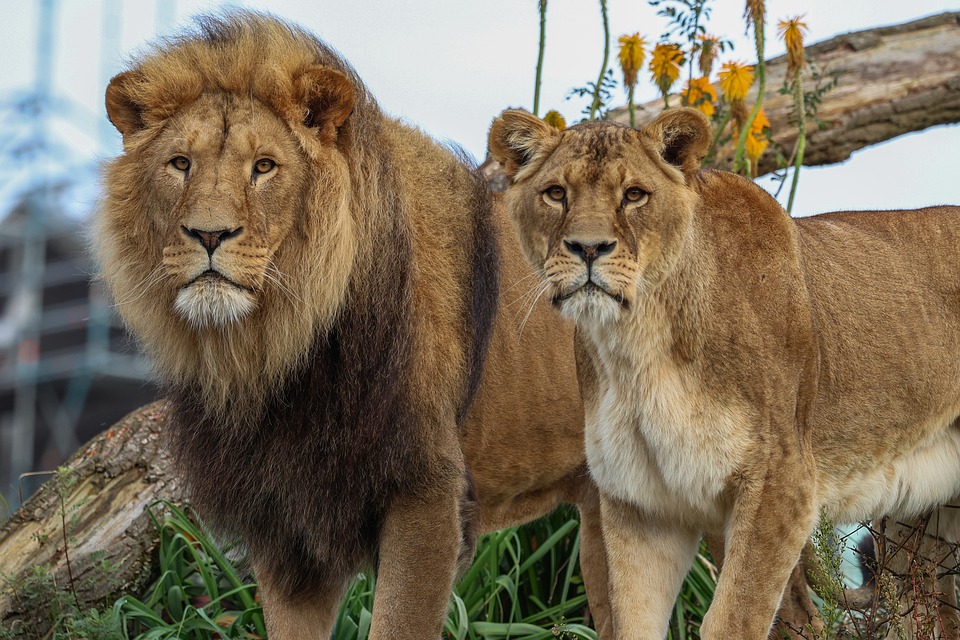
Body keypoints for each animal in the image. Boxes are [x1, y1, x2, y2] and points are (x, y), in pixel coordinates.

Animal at [96, 13, 612, 639]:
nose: (209, 234)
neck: (277, 349)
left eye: (263, 166)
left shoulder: (427, 494)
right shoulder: (286, 526)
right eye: (180, 164)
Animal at [489, 106, 960, 639]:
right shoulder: (642, 504)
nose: (589, 248)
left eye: (634, 195)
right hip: (913, 534)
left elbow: (734, 618)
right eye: (555, 193)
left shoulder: (783, 480)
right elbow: (632, 618)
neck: (637, 342)